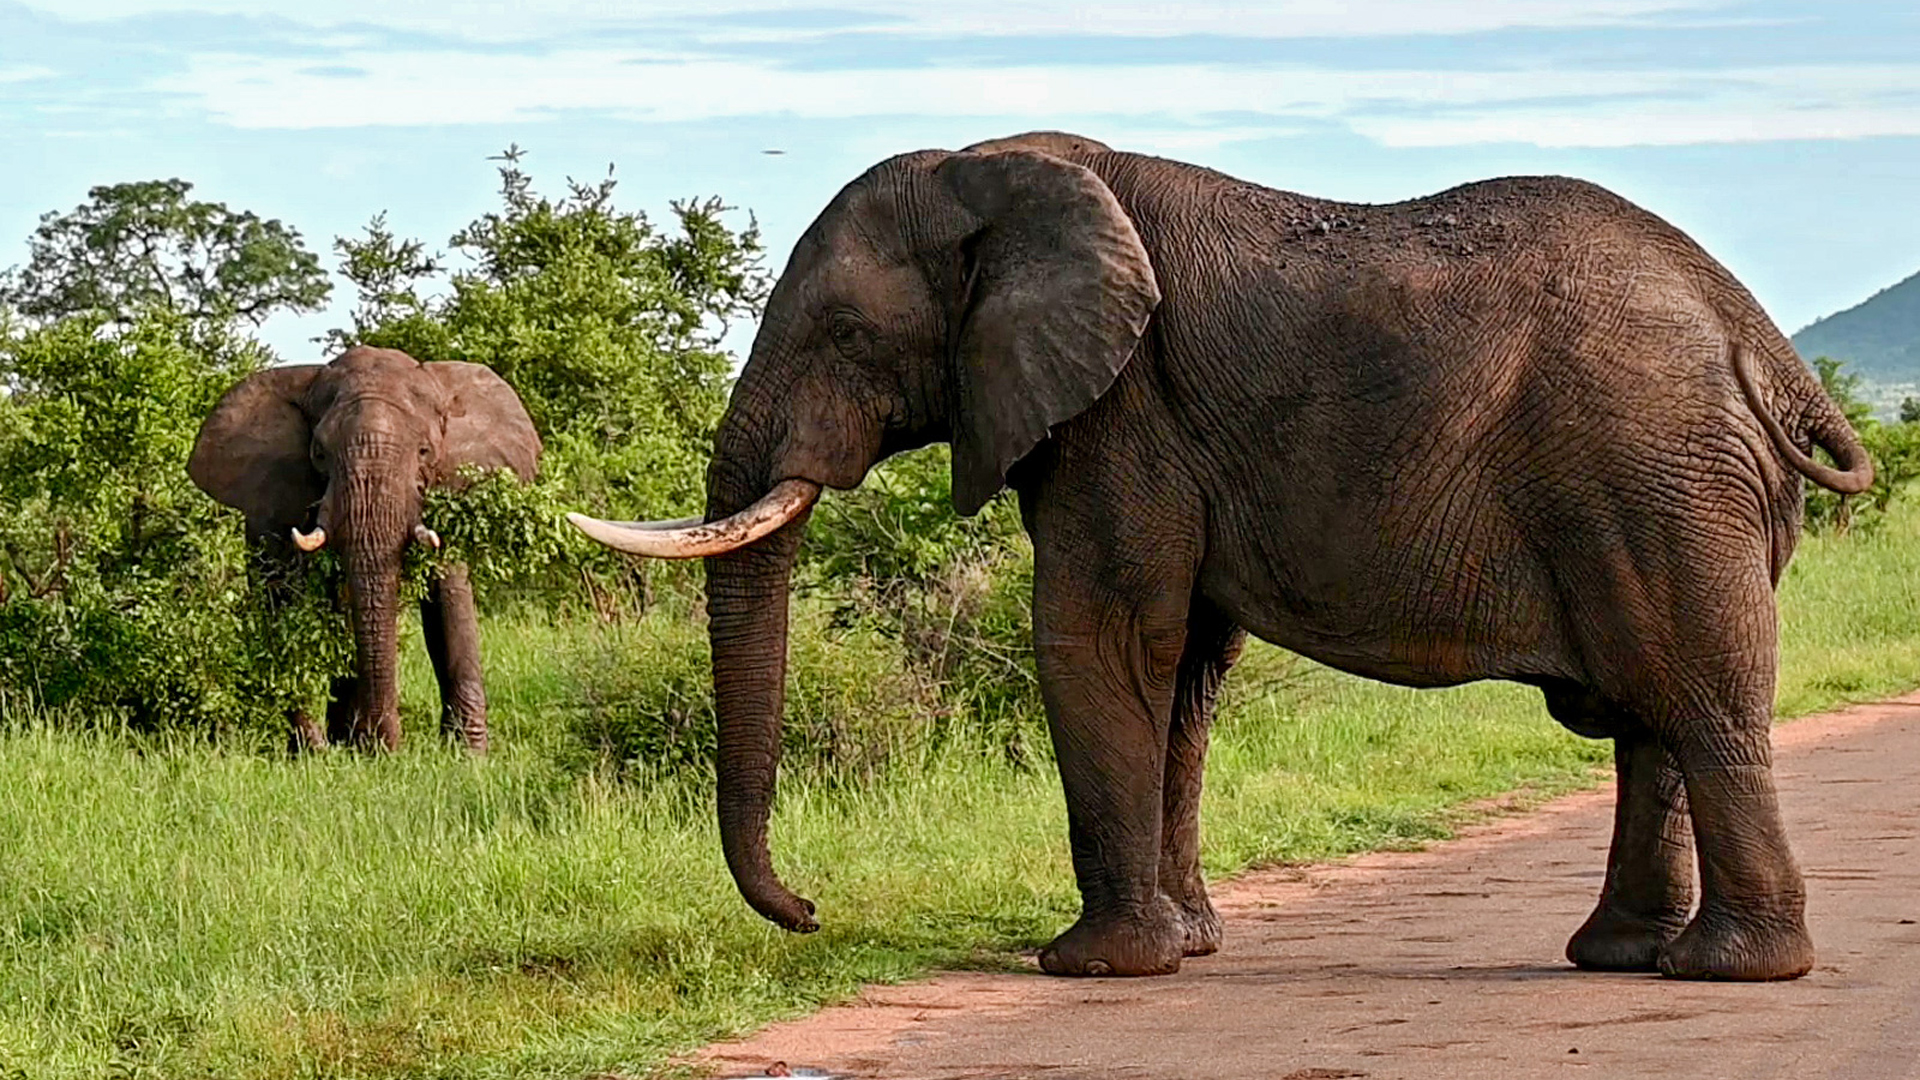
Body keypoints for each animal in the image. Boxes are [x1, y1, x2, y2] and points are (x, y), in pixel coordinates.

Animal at [190, 346, 540, 753]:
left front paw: (466, 755)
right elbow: (287, 601)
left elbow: (448, 601)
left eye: (425, 451)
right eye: (319, 454)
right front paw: (337, 748)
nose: (387, 746)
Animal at [568, 131, 1872, 981]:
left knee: (1694, 699)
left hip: (1652, 476)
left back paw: (1732, 971)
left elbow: (1099, 636)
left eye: (845, 336)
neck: (1003, 170)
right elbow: (1187, 669)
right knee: (1654, 717)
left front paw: (1090, 966)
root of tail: (1766, 346)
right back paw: (1623, 957)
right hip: (1666, 487)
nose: (810, 912)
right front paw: (1187, 944)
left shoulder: (1125, 412)